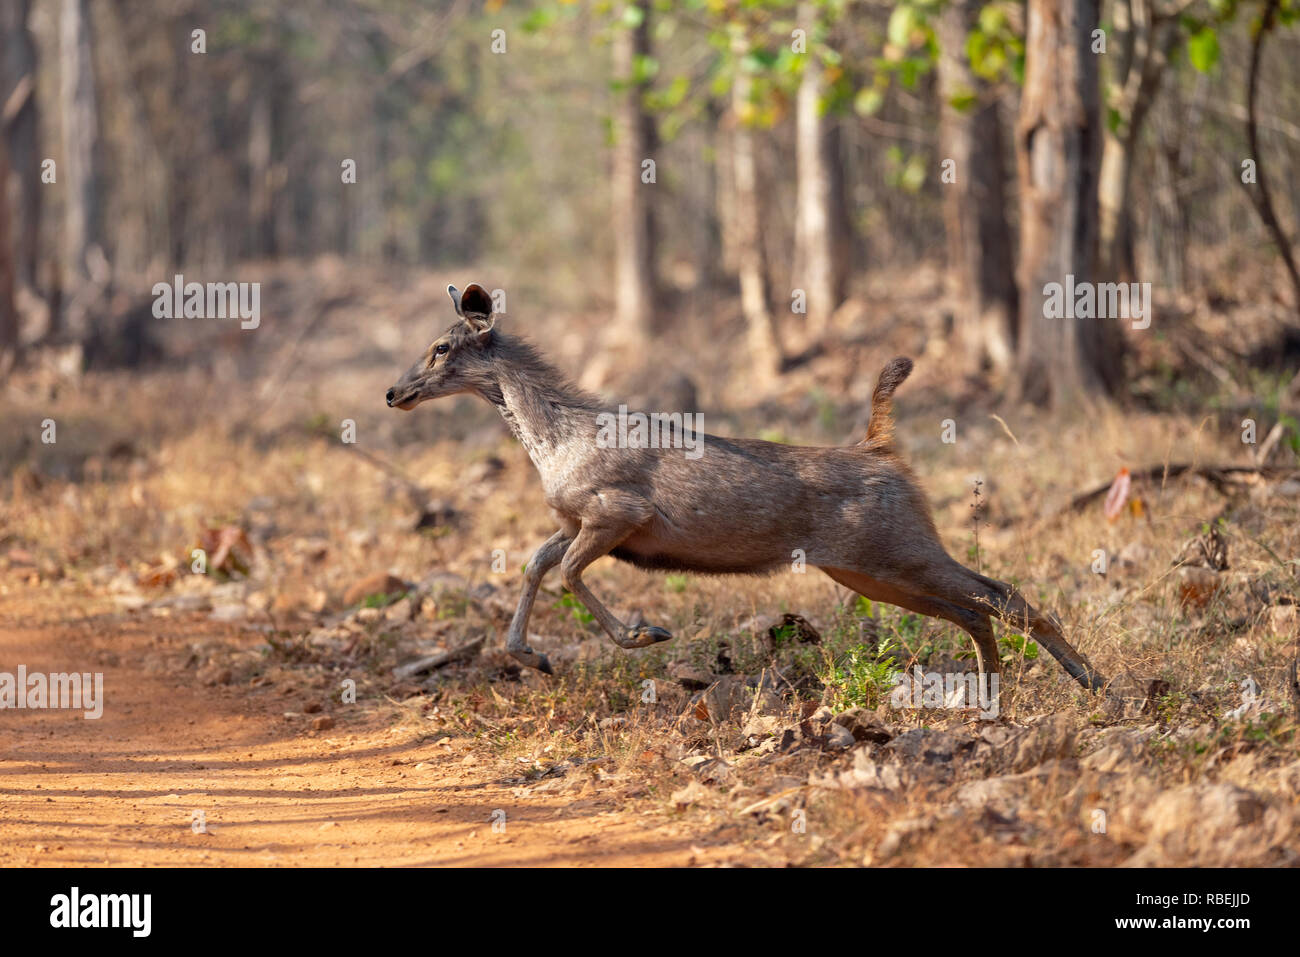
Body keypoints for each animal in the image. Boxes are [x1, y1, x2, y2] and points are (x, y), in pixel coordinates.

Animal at [386, 282, 1107, 693]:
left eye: (442, 347)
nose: (394, 392)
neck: (551, 440)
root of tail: (883, 450)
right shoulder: (573, 519)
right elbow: (537, 564)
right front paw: (528, 655)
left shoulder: (618, 510)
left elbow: (563, 572)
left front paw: (644, 634)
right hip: (868, 568)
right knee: (973, 609)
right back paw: (995, 693)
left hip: (898, 545)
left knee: (1001, 592)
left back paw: (1093, 681)